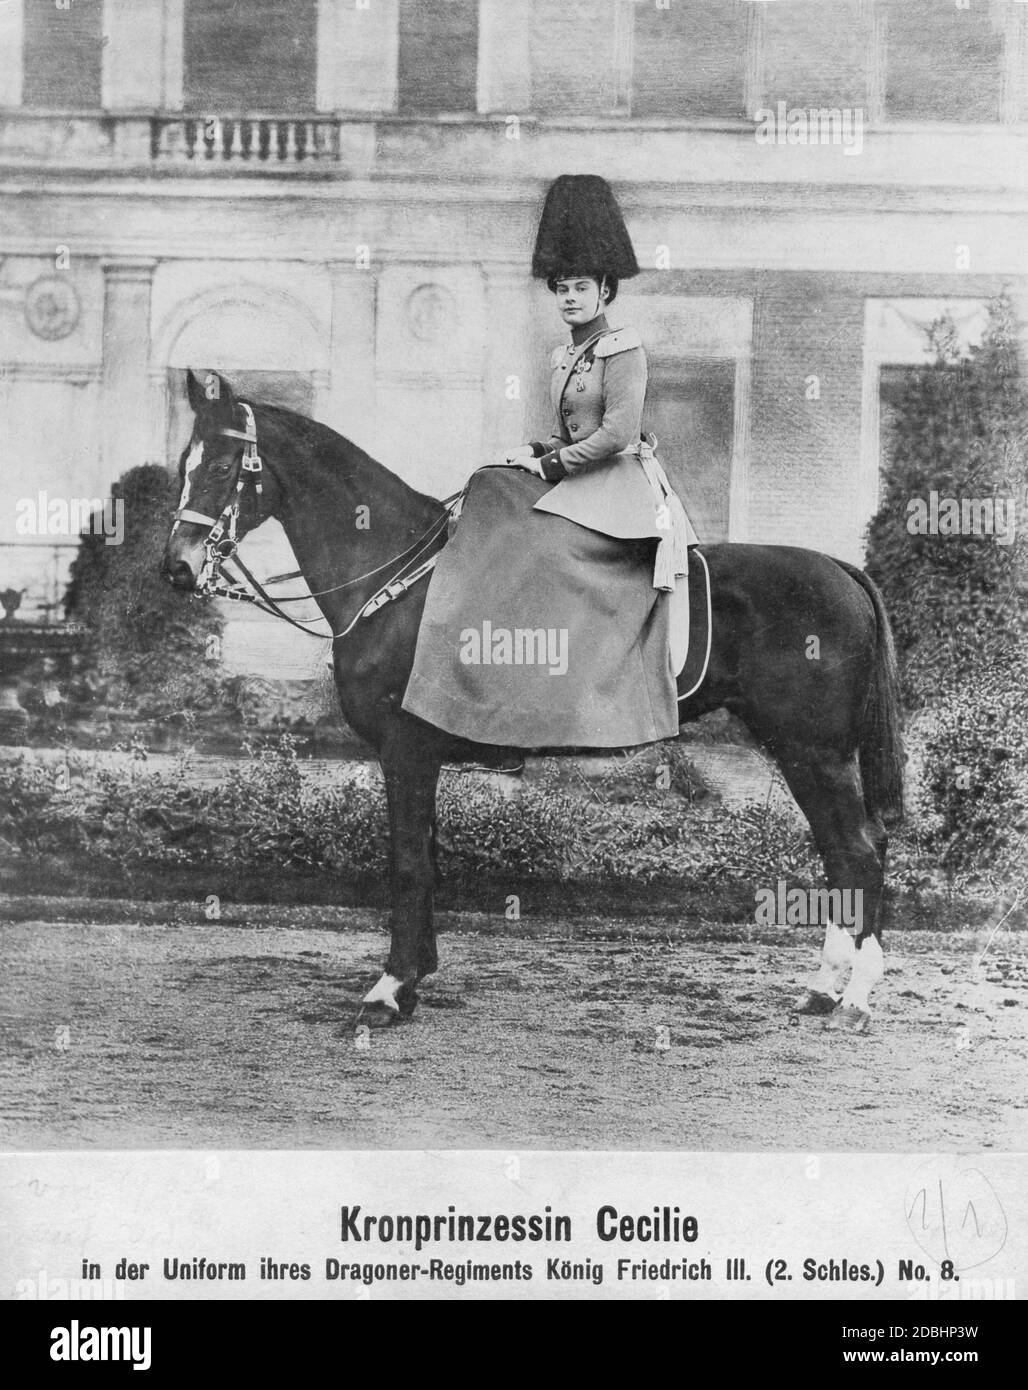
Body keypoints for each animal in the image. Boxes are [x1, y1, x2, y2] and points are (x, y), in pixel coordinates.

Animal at [164, 378, 905, 1034]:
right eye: (182, 465)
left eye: (225, 464)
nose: (176, 566)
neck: (398, 575)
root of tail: (842, 570)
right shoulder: (415, 758)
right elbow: (422, 859)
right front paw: (414, 978)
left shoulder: (406, 751)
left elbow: (408, 865)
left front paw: (390, 989)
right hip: (803, 753)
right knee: (841, 853)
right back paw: (823, 990)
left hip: (816, 752)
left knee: (859, 851)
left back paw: (854, 998)